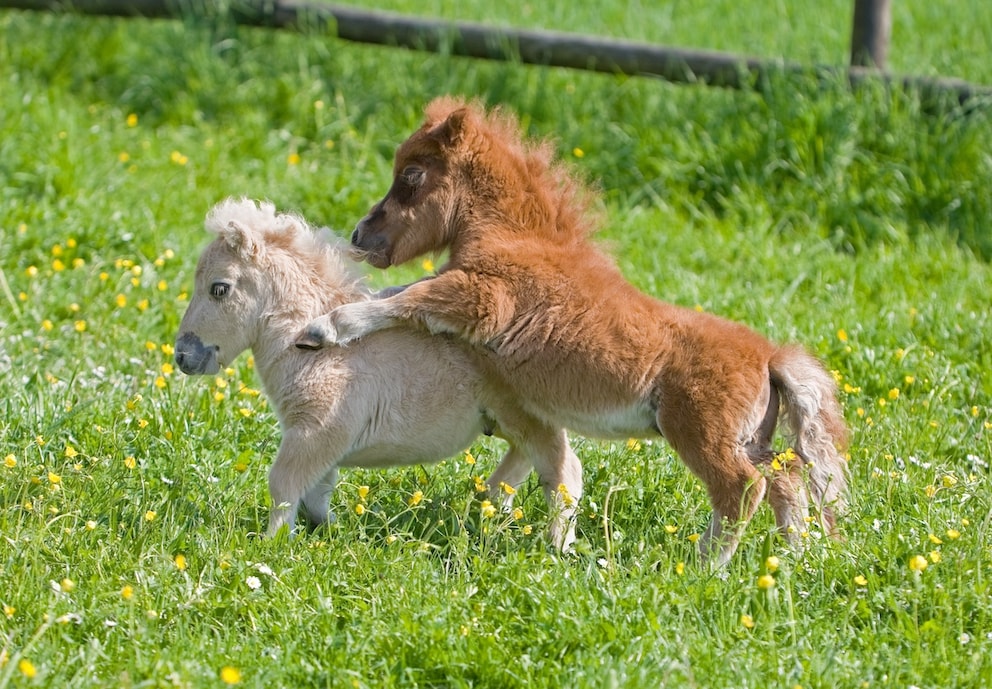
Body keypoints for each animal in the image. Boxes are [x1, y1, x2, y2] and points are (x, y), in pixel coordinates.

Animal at [174, 198, 582, 549]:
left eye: (219, 288)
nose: (183, 356)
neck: (321, 351)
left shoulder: (315, 430)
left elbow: (284, 485)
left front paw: (271, 543)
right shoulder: (318, 439)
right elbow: (316, 493)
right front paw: (331, 531)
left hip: (527, 419)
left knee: (564, 471)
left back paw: (556, 545)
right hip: (509, 422)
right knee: (521, 467)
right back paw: (495, 519)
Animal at [296, 97, 850, 566]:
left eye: (411, 176)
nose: (361, 235)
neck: (520, 239)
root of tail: (769, 356)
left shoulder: (480, 299)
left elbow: (404, 300)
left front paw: (320, 330)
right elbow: (396, 293)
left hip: (701, 434)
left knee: (744, 489)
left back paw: (704, 567)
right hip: (751, 437)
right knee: (788, 477)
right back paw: (797, 559)